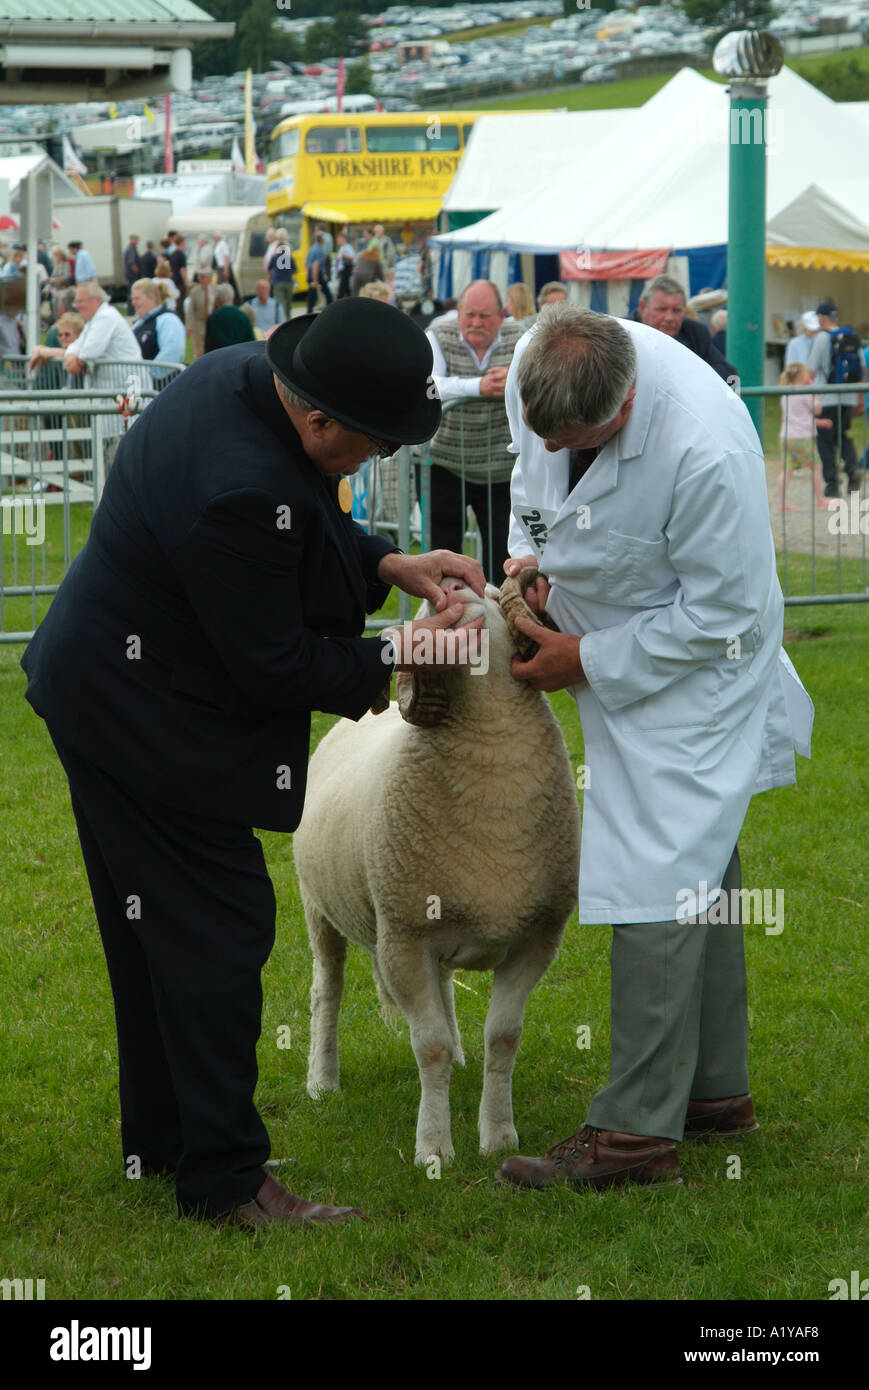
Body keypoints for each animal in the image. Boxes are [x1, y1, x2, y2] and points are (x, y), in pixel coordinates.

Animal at [291, 572, 580, 1165]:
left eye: (490, 594)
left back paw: (462, 1059)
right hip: (319, 907)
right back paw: (322, 1081)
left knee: (445, 989)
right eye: (429, 607)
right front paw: (433, 1148)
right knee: (326, 991)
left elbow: (503, 1038)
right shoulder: (403, 942)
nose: (446, 579)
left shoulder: (536, 940)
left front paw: (498, 1136)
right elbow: (429, 1048)